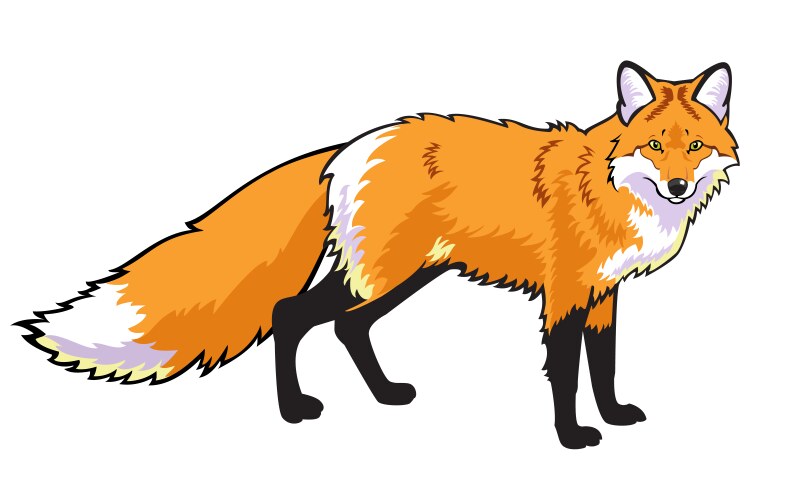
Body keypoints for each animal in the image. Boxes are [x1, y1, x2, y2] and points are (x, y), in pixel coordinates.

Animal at [16, 61, 737, 448]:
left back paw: (387, 394)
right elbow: (564, 373)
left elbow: (605, 364)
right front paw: (571, 437)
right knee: (290, 313)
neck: (613, 188)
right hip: (385, 274)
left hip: (404, 276)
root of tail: (352, 143)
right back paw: (294, 410)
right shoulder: (564, 293)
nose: (678, 185)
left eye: (695, 147)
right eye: (656, 146)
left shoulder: (605, 293)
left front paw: (613, 416)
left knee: (345, 326)